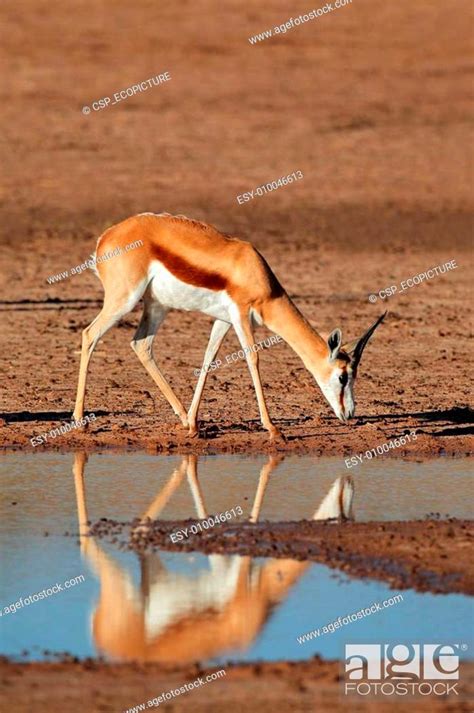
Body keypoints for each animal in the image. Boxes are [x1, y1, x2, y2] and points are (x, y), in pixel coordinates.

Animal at [73, 212, 386, 438]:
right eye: (343, 377)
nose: (350, 413)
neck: (254, 273)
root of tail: (106, 238)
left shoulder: (223, 320)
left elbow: (209, 358)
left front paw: (194, 424)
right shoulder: (240, 315)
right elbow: (252, 359)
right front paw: (273, 429)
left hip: (156, 305)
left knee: (141, 344)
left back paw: (183, 417)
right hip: (125, 300)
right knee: (90, 334)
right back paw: (80, 421)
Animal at [73, 453, 354, 662]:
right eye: (345, 514)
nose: (349, 483)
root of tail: (98, 635)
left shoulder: (225, 567)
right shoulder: (239, 575)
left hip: (150, 576)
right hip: (124, 588)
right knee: (90, 548)